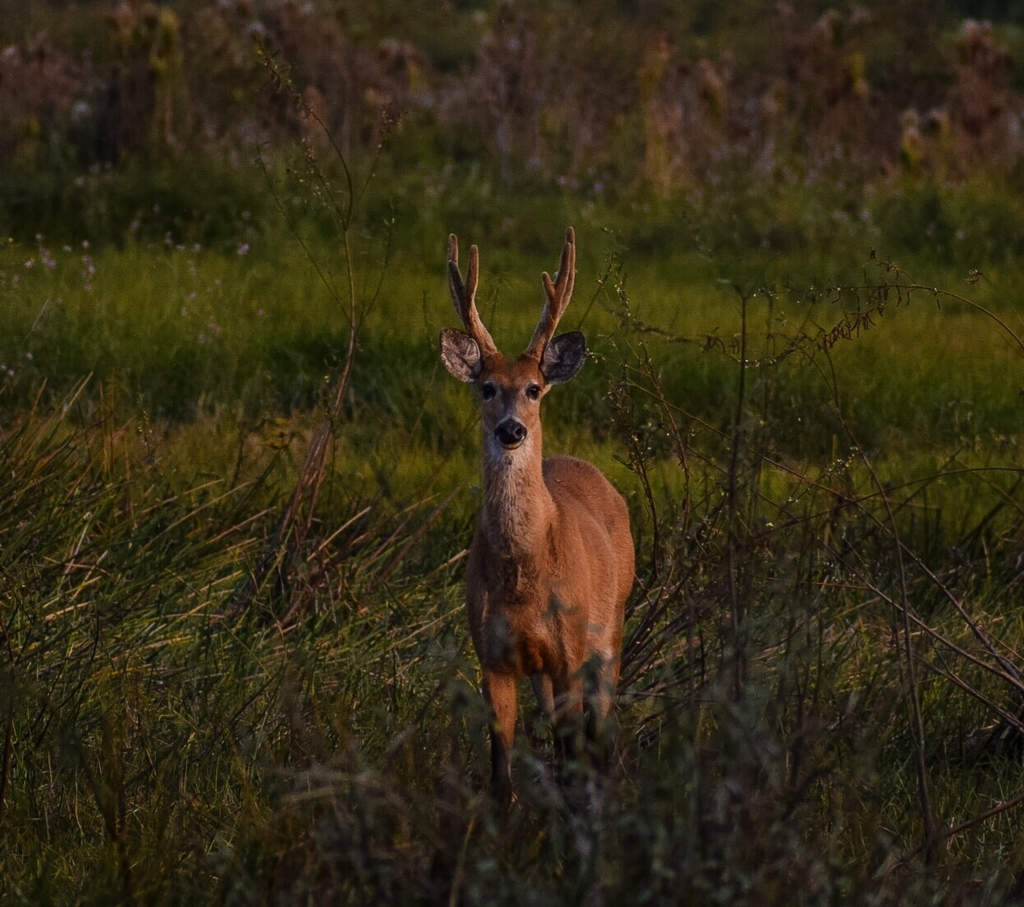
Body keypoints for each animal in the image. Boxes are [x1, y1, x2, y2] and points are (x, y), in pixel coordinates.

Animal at [440, 227, 635, 810]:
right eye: (486, 387)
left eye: (533, 388)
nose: (511, 430)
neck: (523, 578)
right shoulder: (493, 656)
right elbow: (500, 774)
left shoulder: (569, 652)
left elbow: (574, 756)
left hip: (611, 627)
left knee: (601, 732)